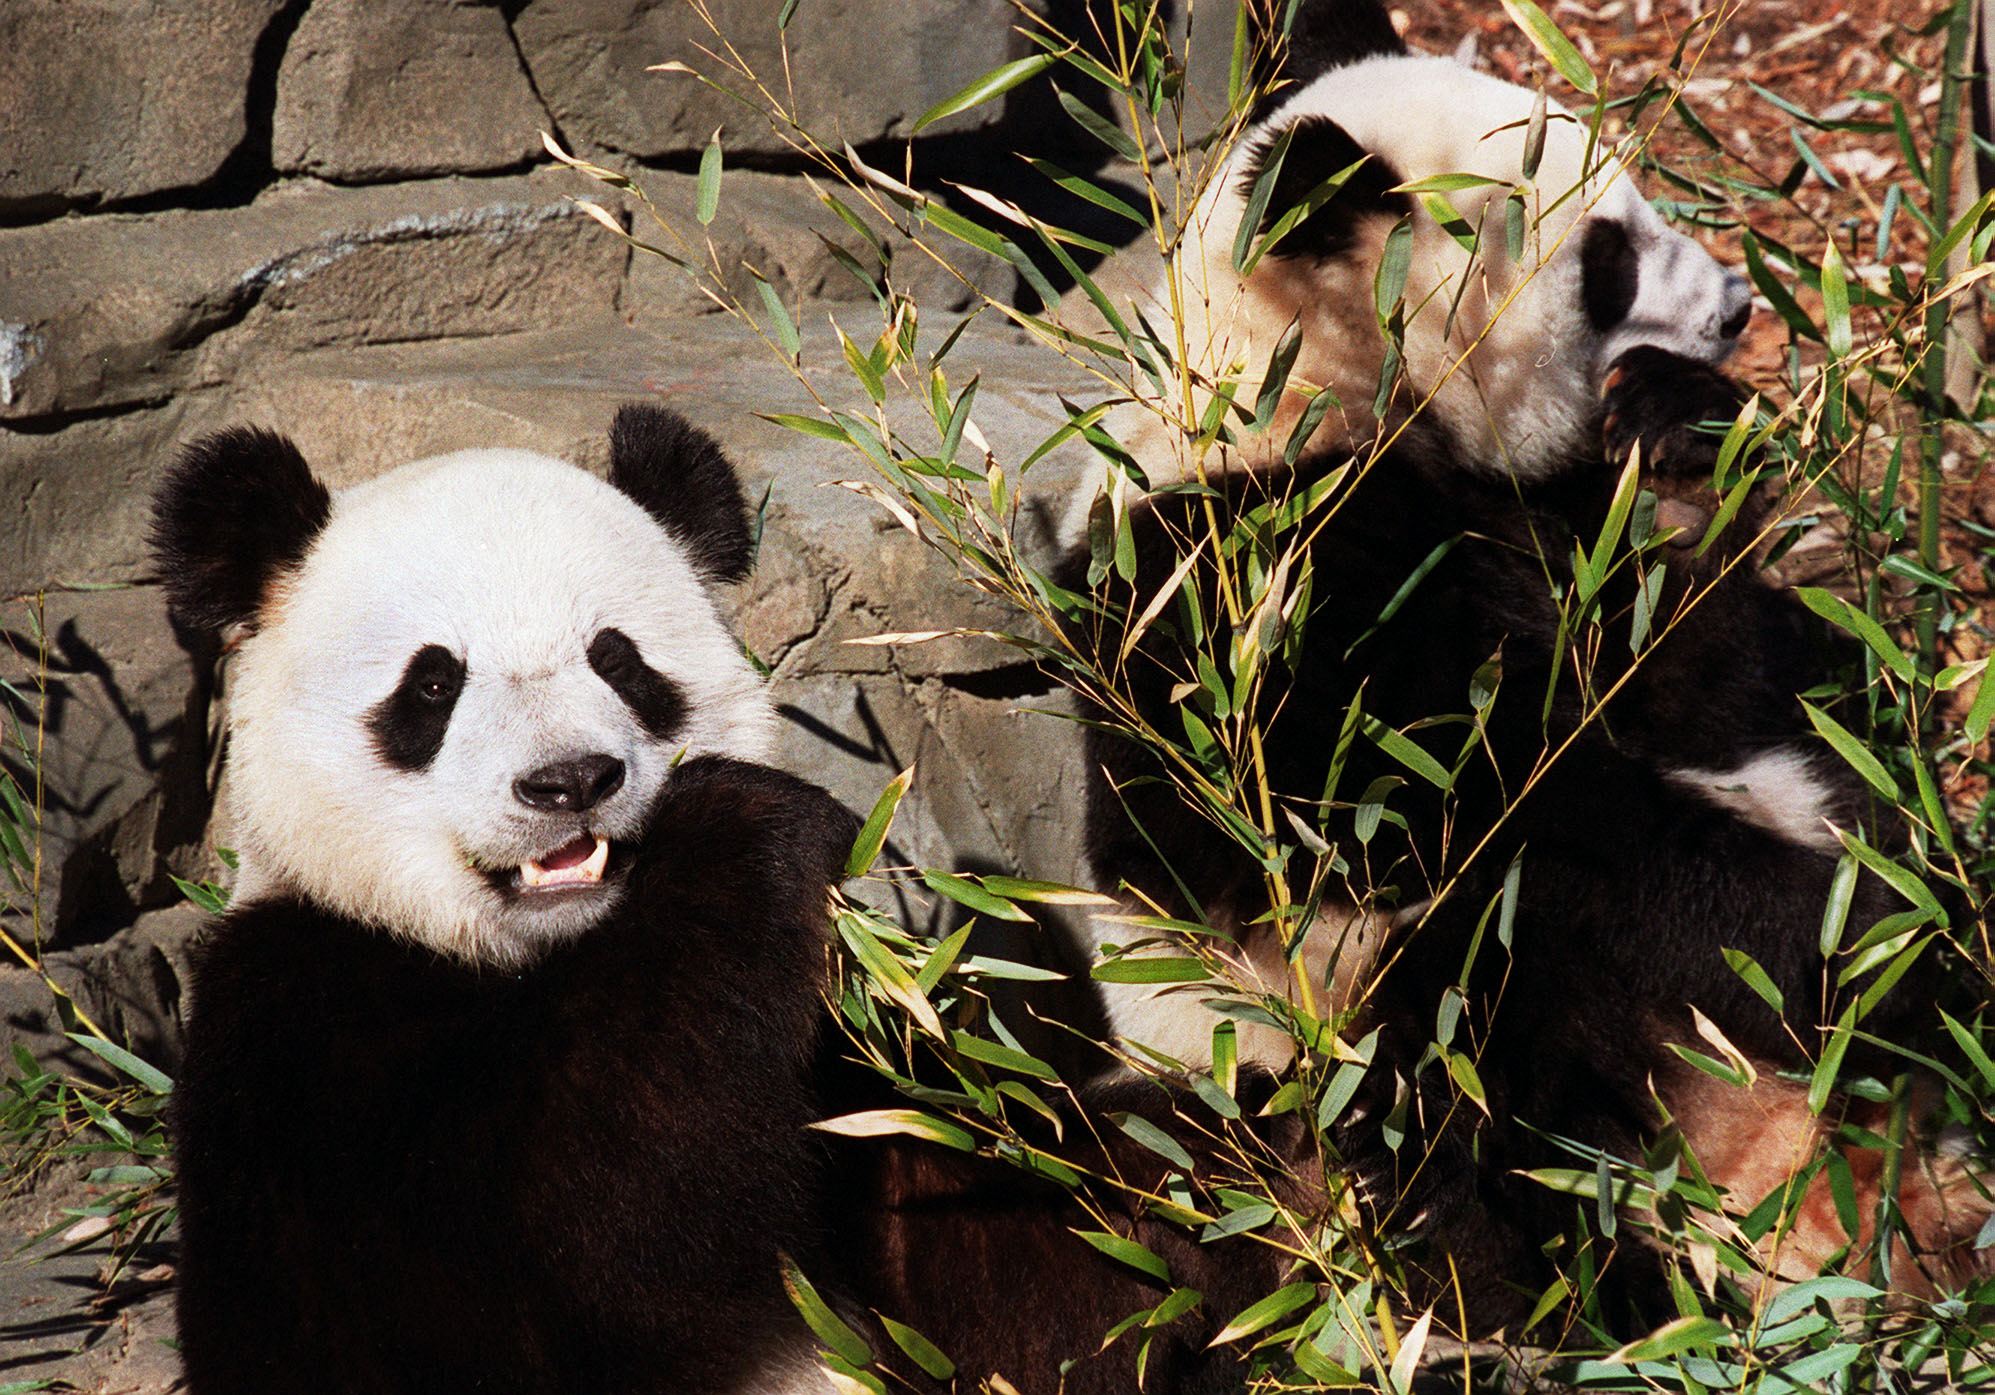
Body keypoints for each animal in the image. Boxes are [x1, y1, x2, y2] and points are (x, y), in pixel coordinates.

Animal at [157, 405, 859, 1394]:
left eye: (617, 661)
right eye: (433, 682)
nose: (570, 780)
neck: (540, 950)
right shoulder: (295, 1037)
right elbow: (603, 1238)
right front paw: (743, 823)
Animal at [1059, 0, 1991, 1318]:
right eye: (1605, 255)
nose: (1737, 310)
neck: (1313, 368)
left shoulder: (1568, 535)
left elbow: (1739, 670)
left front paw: (1678, 421)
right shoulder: (1247, 596)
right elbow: (1485, 810)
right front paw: (1856, 939)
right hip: (1320, 1057)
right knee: (1472, 1046)